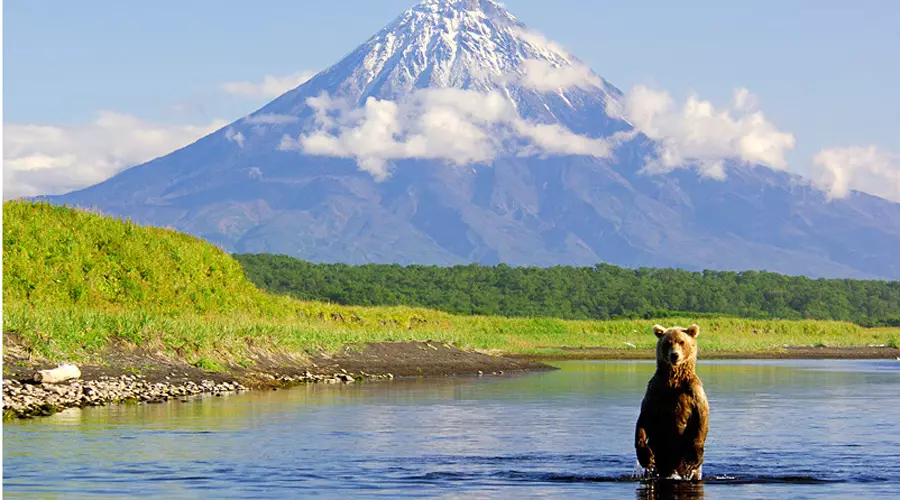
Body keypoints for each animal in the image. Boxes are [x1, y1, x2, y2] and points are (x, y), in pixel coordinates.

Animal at [636, 324, 708, 480]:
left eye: (682, 342)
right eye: (668, 343)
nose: (674, 355)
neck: (674, 380)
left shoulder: (693, 391)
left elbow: (702, 417)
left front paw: (694, 458)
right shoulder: (655, 390)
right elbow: (644, 418)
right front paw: (646, 457)